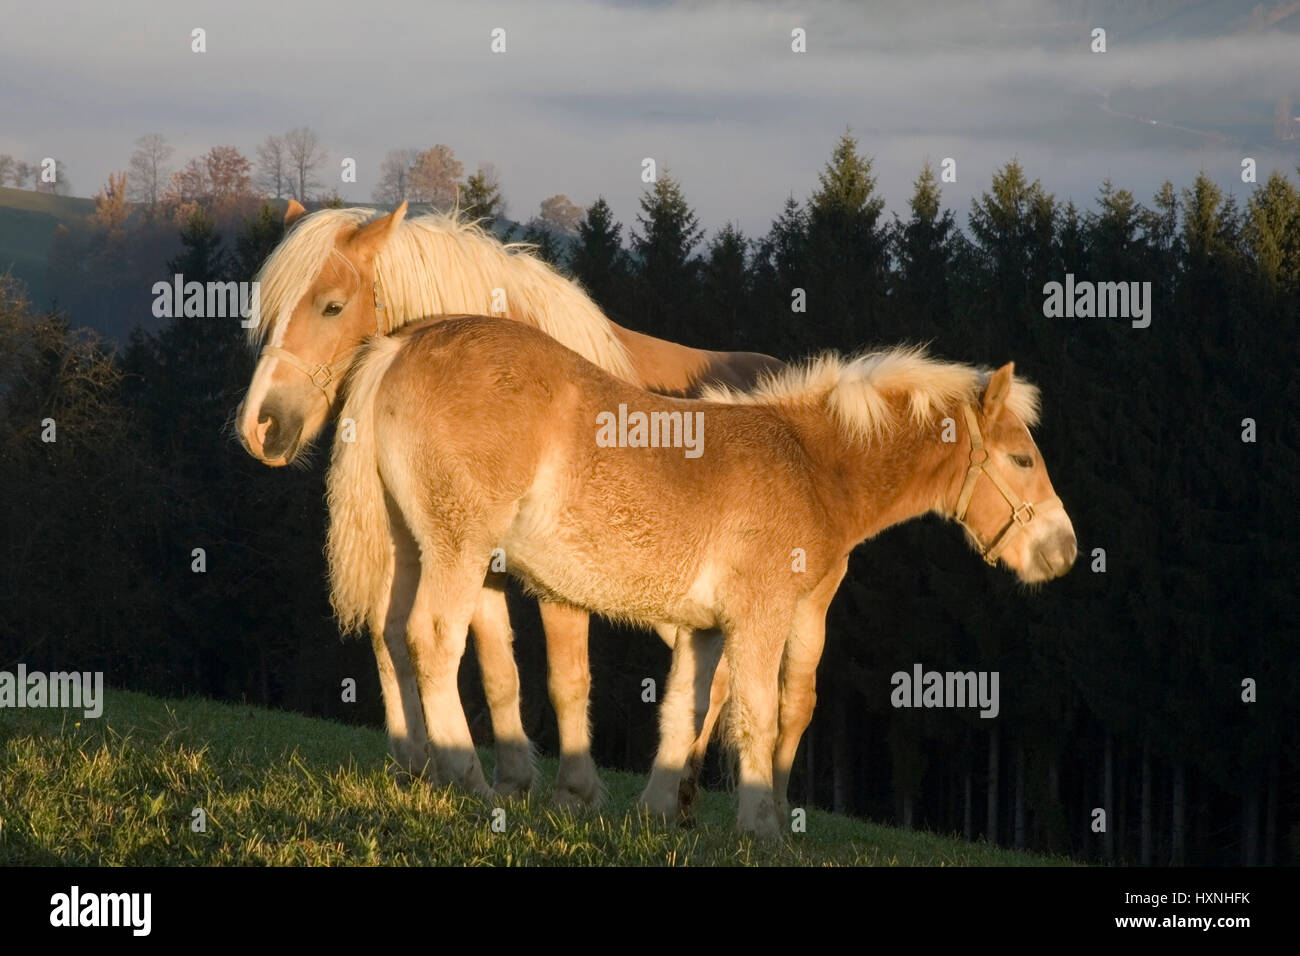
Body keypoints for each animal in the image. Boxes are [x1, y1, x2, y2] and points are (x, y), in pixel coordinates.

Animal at [234, 200, 780, 803]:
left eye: (332, 306)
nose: (260, 425)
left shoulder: (560, 578)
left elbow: (567, 678)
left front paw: (575, 790)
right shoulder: (480, 560)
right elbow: (499, 672)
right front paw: (514, 779)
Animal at [327, 314, 1077, 836]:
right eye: (1019, 459)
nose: (1064, 551)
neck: (808, 463)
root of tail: (401, 345)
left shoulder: (705, 628)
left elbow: (683, 713)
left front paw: (658, 811)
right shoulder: (760, 616)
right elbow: (759, 716)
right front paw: (762, 826)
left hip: (407, 546)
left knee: (390, 637)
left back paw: (417, 769)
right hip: (458, 547)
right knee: (431, 638)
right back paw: (467, 778)